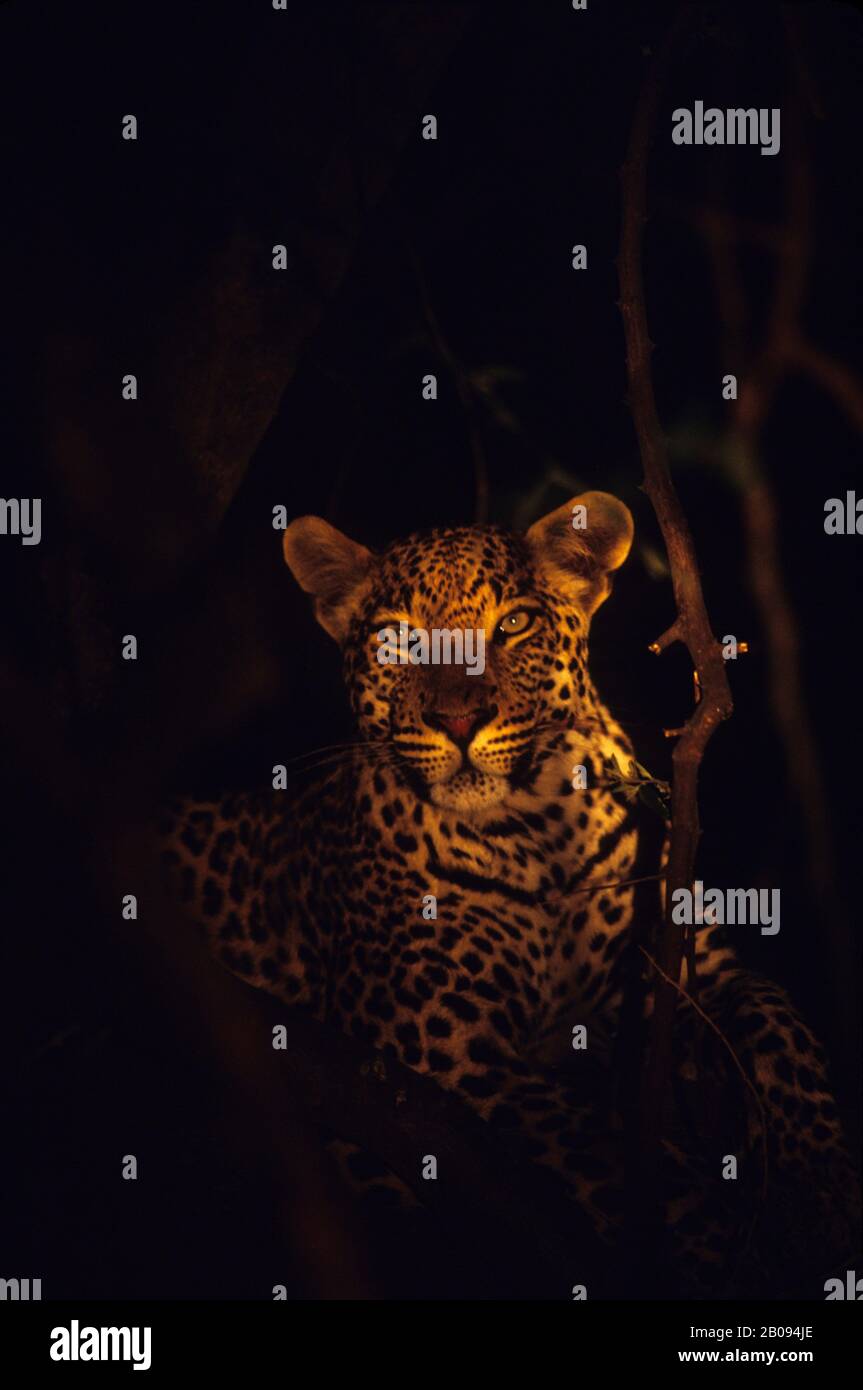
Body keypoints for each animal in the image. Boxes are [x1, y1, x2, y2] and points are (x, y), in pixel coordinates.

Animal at [159, 491, 858, 1296]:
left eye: (514, 624)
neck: (536, 833)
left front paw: (821, 1197)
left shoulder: (700, 972)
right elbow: (610, 1151)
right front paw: (721, 1252)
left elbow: (782, 1029)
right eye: (397, 640)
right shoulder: (443, 1051)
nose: (458, 719)